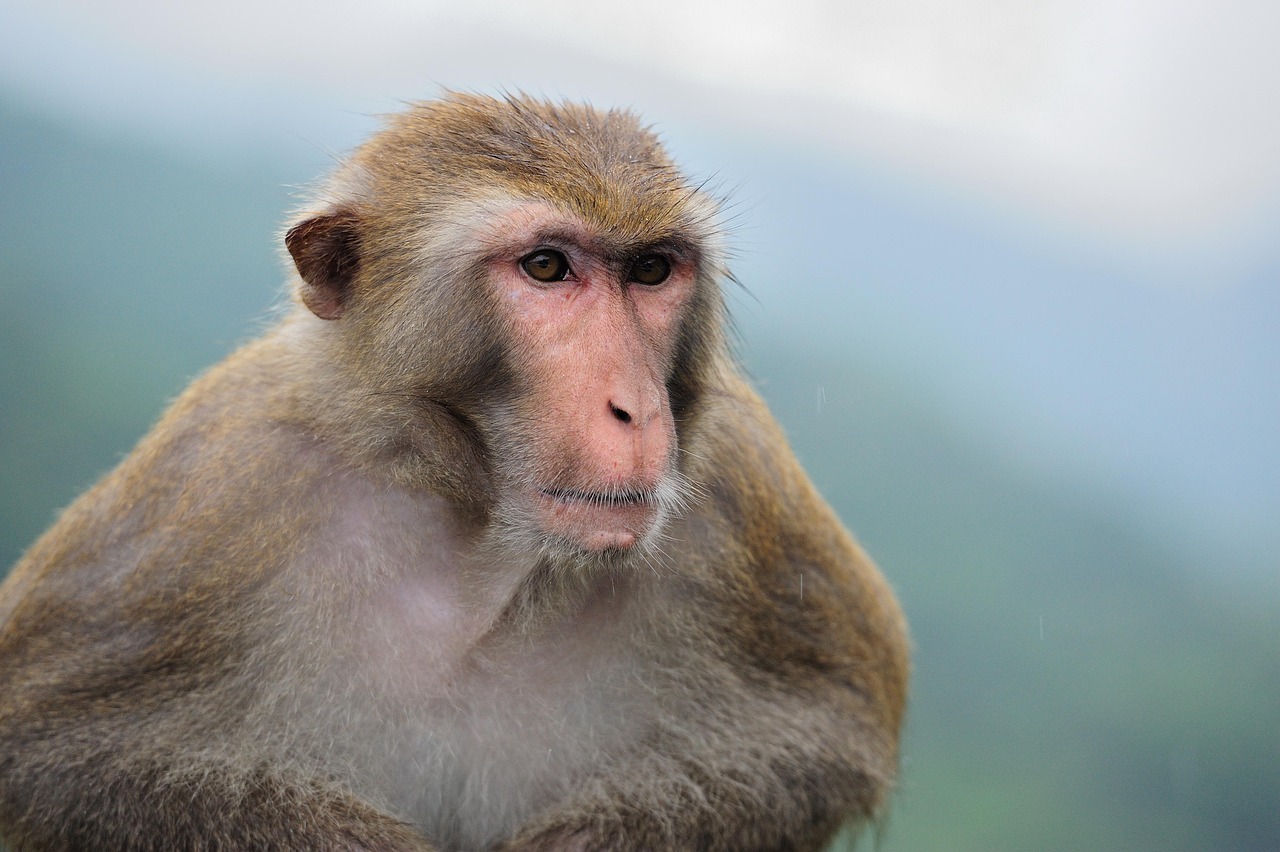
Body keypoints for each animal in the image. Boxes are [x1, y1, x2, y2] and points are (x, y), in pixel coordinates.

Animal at [0, 93, 909, 851]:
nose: (639, 411)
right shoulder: (227, 473)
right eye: (546, 267)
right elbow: (53, 749)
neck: (485, 532)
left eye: (652, 269)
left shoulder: (733, 473)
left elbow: (830, 725)